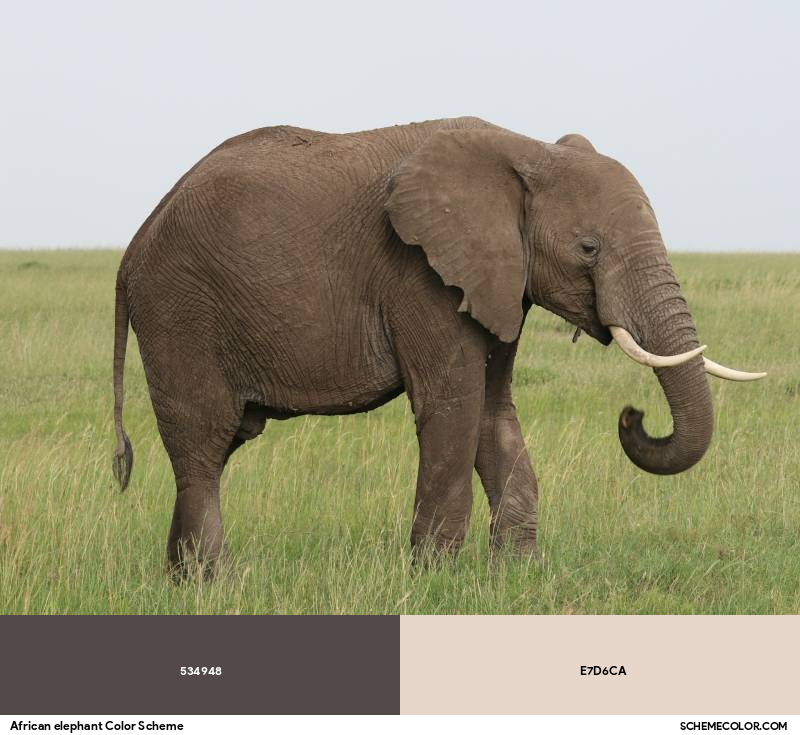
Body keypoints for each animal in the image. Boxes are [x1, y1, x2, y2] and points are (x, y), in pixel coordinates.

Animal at [112, 116, 764, 574]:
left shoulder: (498, 280)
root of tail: (134, 244)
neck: (525, 150)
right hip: (179, 313)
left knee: (215, 449)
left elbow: (494, 412)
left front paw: (517, 578)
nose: (633, 415)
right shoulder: (420, 274)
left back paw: (182, 580)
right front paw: (434, 581)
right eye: (588, 248)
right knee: (203, 443)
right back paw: (215, 583)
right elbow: (453, 406)